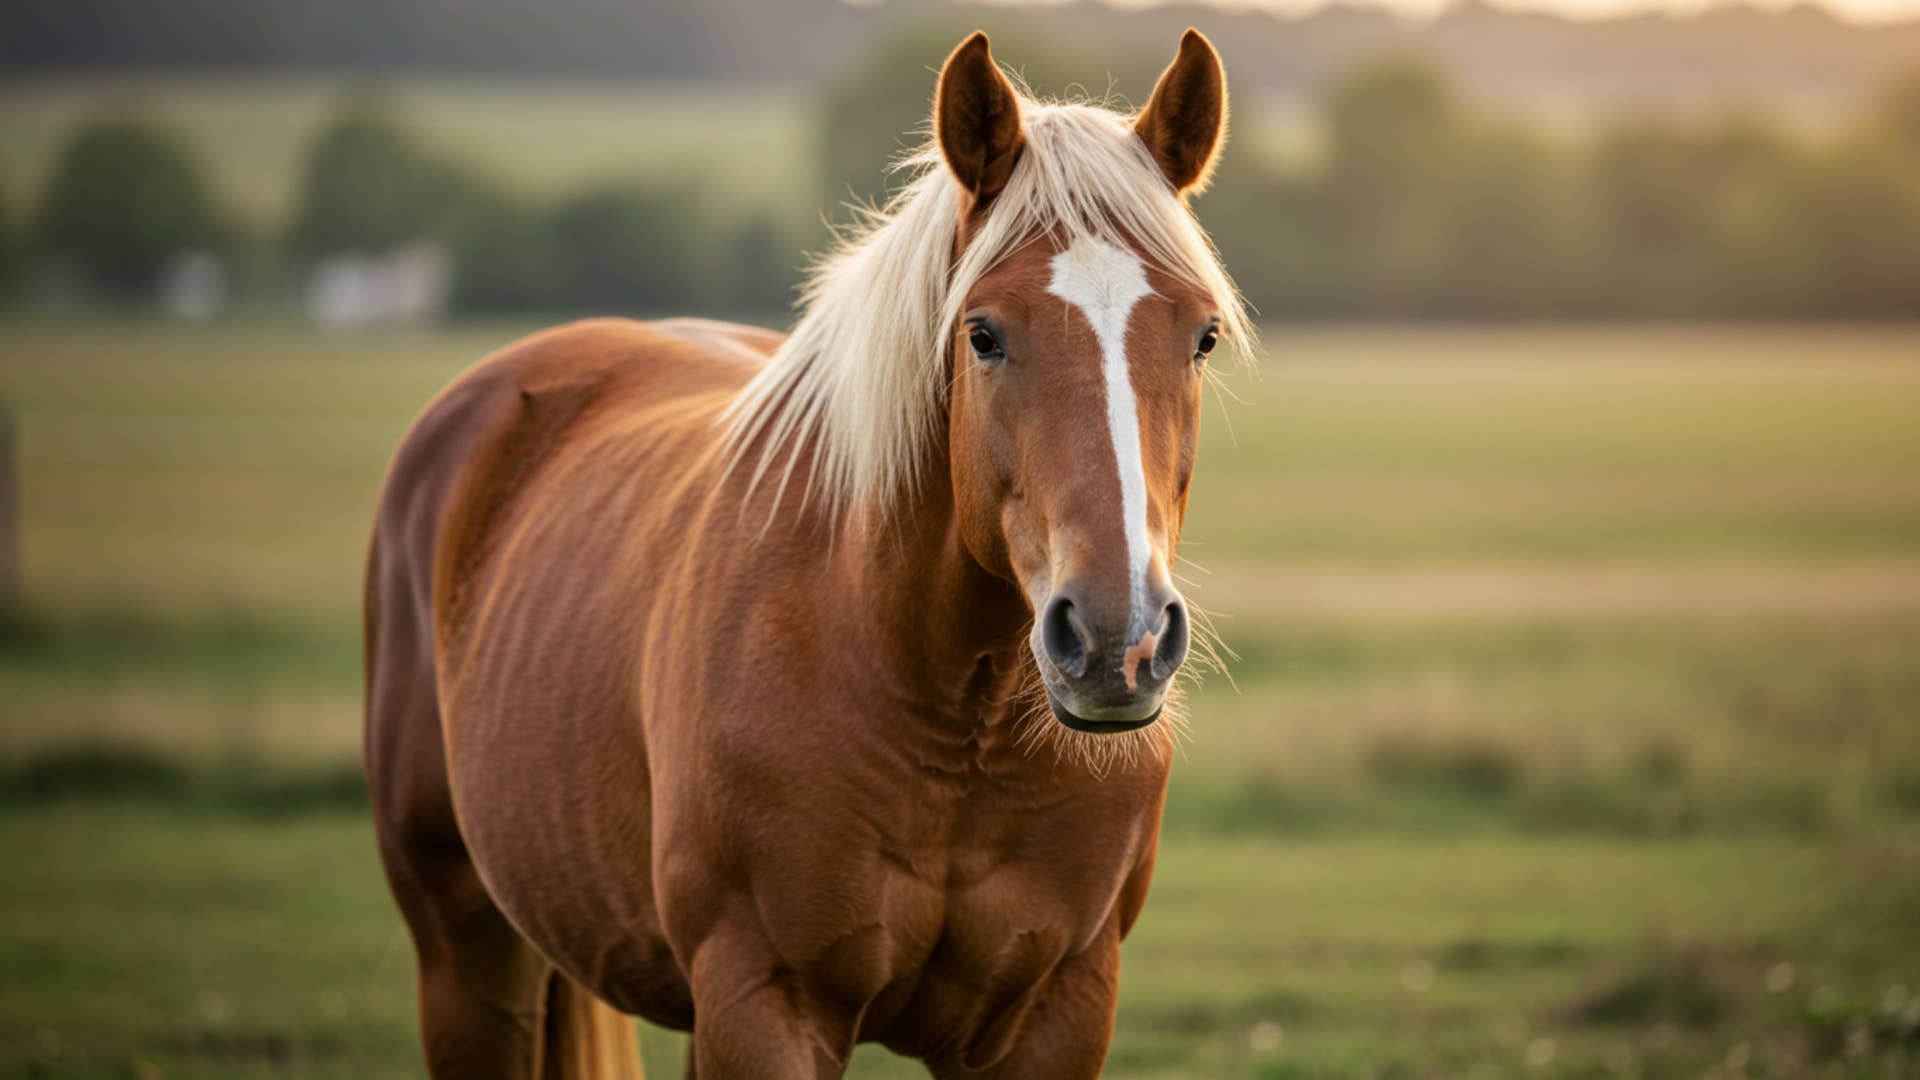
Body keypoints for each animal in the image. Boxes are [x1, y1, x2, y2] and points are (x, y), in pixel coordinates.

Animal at [365, 28, 1249, 1078]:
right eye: (984, 334)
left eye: (1201, 337)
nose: (1119, 639)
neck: (952, 716)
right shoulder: (763, 1002)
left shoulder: (1056, 1012)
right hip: (466, 957)